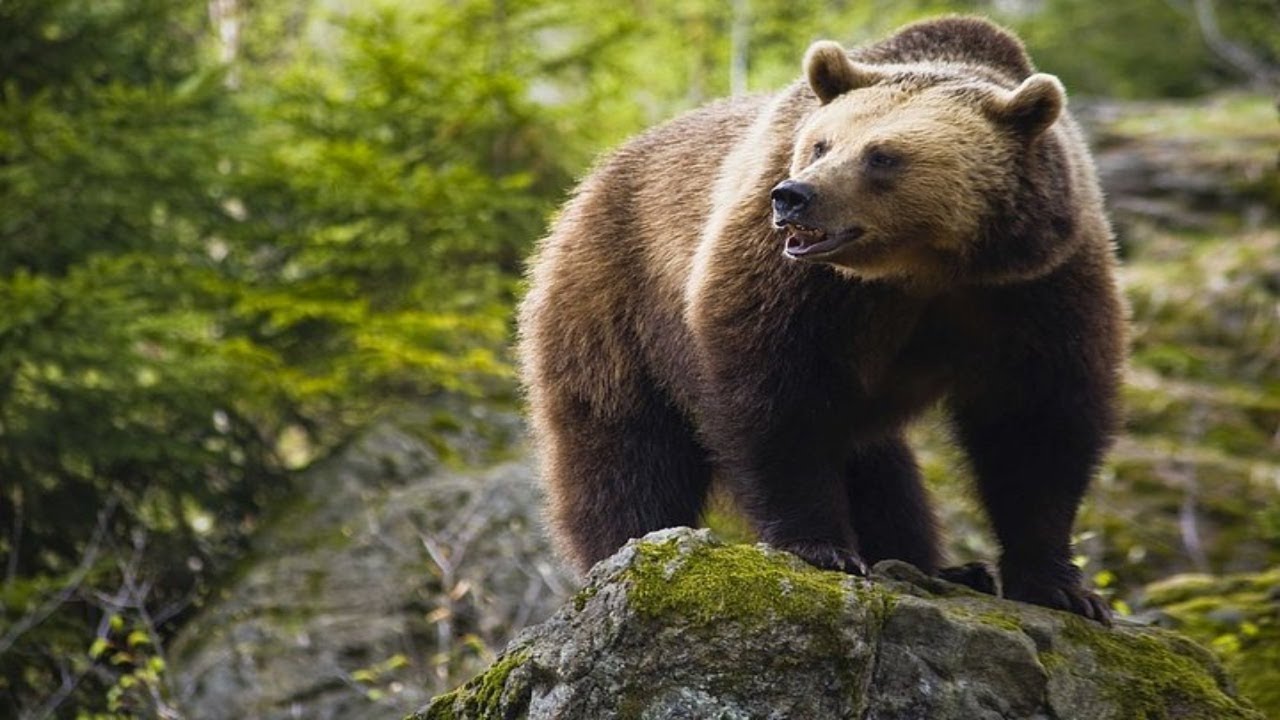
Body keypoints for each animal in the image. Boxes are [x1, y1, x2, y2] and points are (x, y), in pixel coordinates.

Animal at [518, 16, 1124, 623]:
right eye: (820, 143)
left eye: (882, 156)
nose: (793, 196)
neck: (920, 269)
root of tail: (593, 179)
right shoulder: (793, 282)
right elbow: (774, 398)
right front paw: (819, 546)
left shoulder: (1035, 286)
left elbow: (1036, 421)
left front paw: (1059, 585)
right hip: (614, 298)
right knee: (625, 446)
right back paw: (627, 544)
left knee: (882, 470)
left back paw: (940, 566)